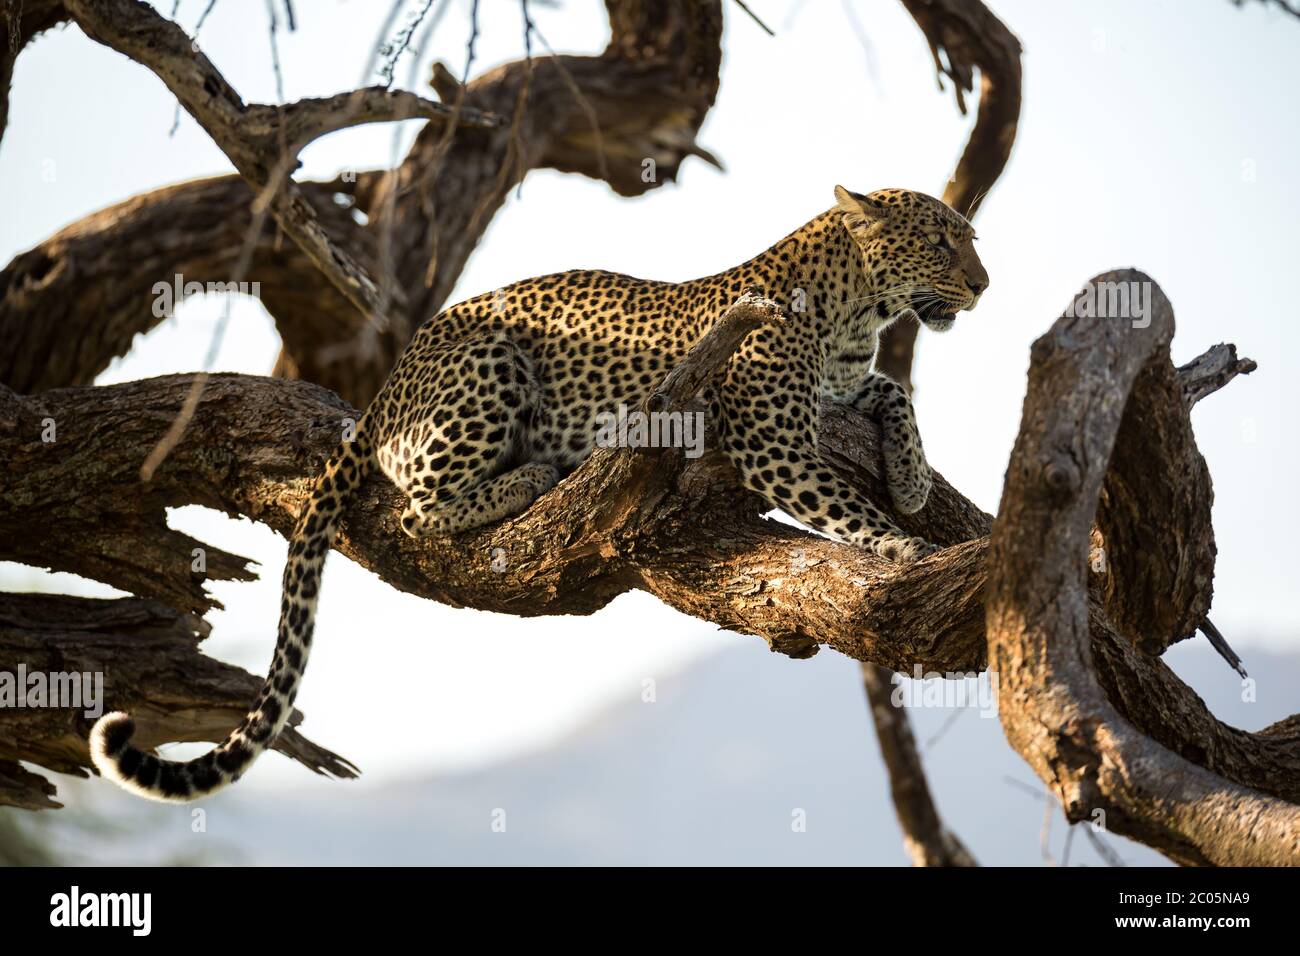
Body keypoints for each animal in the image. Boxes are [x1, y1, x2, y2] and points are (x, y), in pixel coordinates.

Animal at [89, 185, 989, 801]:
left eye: (968, 240)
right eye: (941, 243)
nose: (983, 285)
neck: (855, 316)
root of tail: (386, 385)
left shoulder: (843, 395)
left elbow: (895, 395)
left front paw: (911, 482)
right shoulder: (776, 449)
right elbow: (850, 509)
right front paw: (907, 543)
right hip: (491, 364)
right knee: (418, 507)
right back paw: (531, 474)